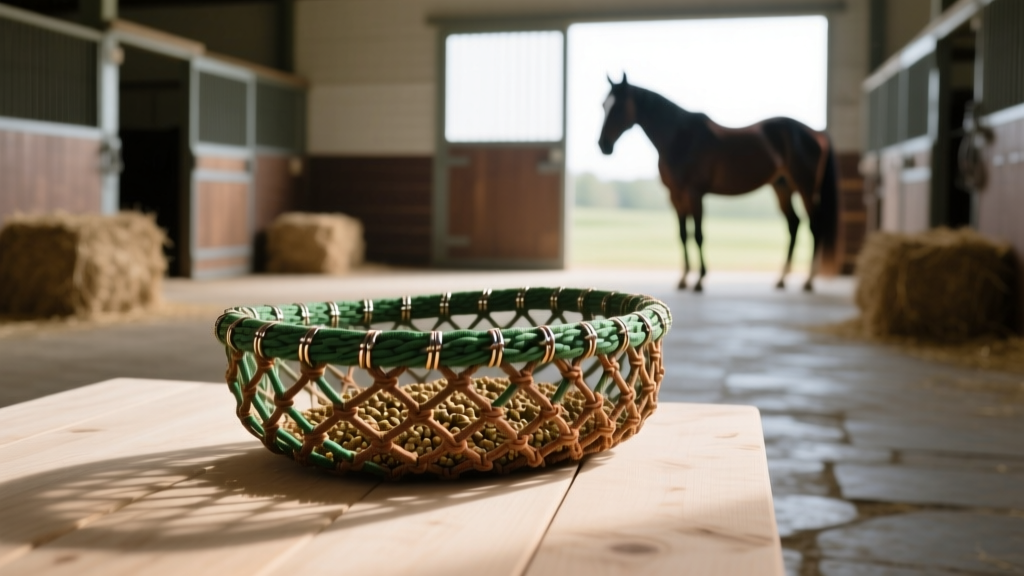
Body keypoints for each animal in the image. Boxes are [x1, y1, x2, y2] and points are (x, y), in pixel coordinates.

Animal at [598, 74, 838, 292]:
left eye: (618, 107)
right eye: (603, 105)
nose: (603, 145)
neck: (679, 138)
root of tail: (818, 134)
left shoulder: (694, 194)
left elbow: (698, 235)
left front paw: (700, 280)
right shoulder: (676, 196)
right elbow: (683, 235)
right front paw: (683, 279)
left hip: (805, 188)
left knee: (815, 226)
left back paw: (809, 281)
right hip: (782, 188)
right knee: (794, 225)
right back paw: (782, 278)